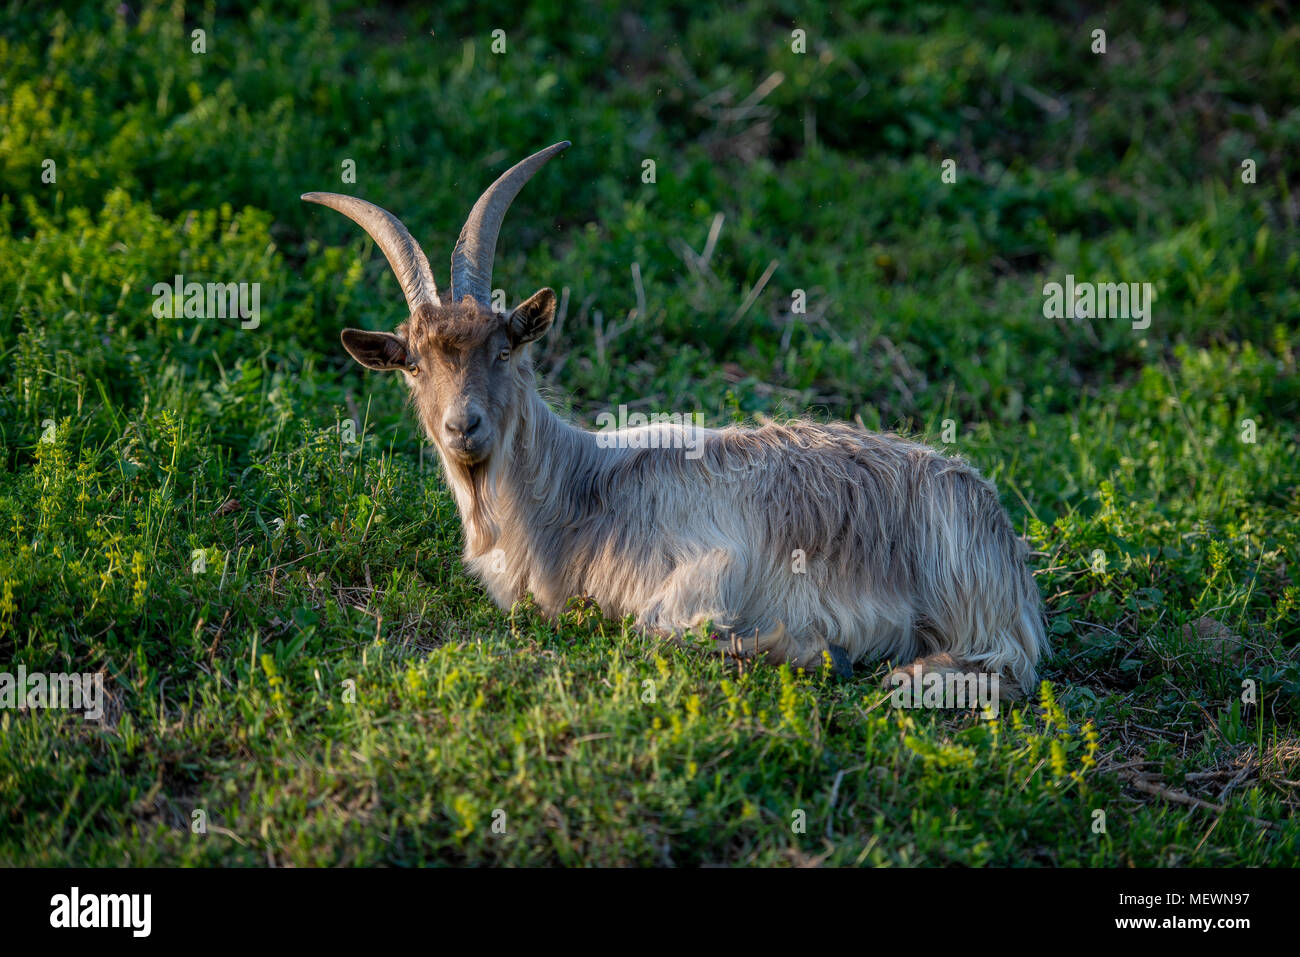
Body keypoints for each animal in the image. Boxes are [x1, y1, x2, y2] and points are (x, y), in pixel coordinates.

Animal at [303, 142, 1048, 697]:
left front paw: (815, 650)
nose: (465, 427)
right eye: (413, 366)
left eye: (506, 347)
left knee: (1009, 670)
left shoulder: (706, 567)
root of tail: (1001, 534)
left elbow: (661, 628)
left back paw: (909, 677)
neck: (575, 496)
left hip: (968, 602)